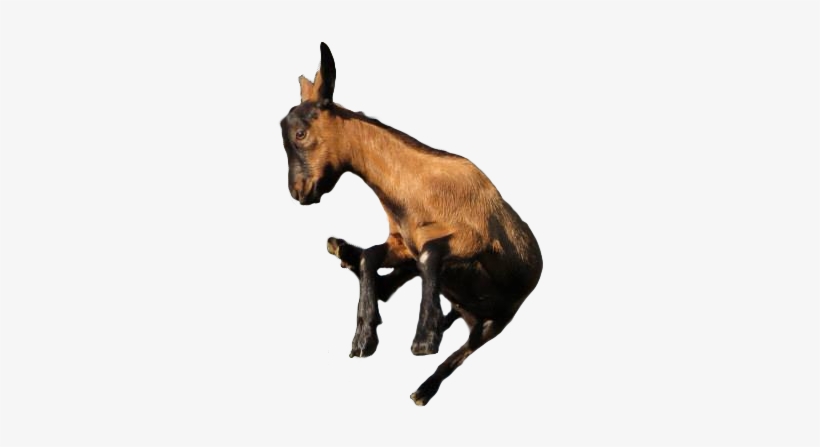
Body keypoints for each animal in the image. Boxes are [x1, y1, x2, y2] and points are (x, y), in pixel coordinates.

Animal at [280, 43, 542, 406]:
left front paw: (424, 338)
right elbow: (372, 257)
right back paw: (344, 251)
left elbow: (430, 254)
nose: (299, 193)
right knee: (389, 280)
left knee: (462, 352)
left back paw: (424, 388)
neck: (417, 191)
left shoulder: (476, 241)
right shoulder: (402, 245)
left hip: (497, 320)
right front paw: (364, 338)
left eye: (301, 133)